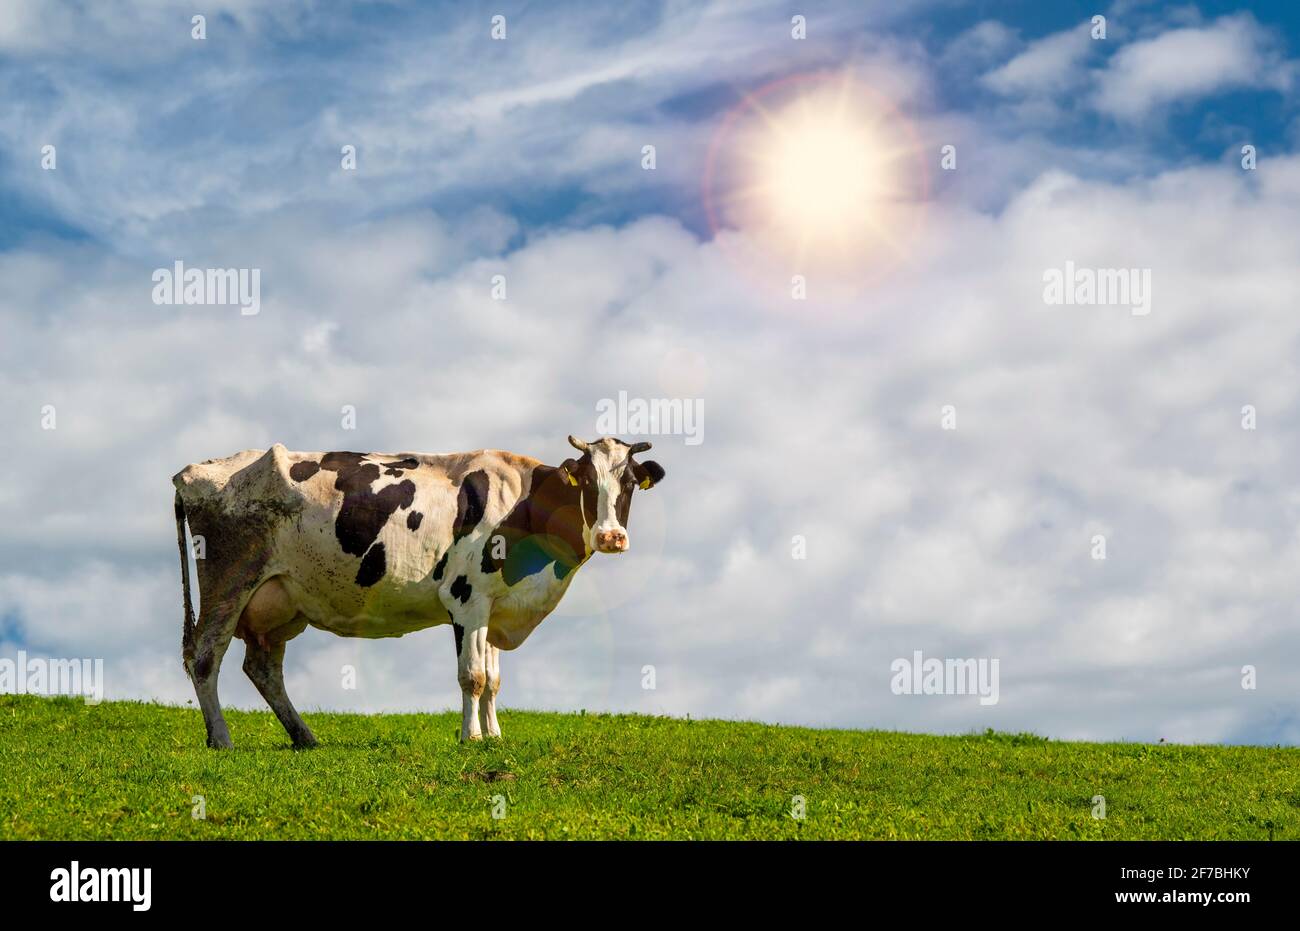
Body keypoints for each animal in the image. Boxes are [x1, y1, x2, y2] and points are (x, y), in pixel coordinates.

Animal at [172, 435, 665, 748]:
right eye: (588, 482)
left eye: (627, 484)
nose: (611, 537)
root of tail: (195, 471)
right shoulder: (466, 599)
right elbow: (473, 676)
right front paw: (470, 738)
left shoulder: (493, 605)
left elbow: (494, 679)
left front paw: (494, 736)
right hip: (229, 581)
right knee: (204, 656)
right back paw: (221, 738)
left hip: (279, 603)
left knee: (263, 669)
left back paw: (305, 737)